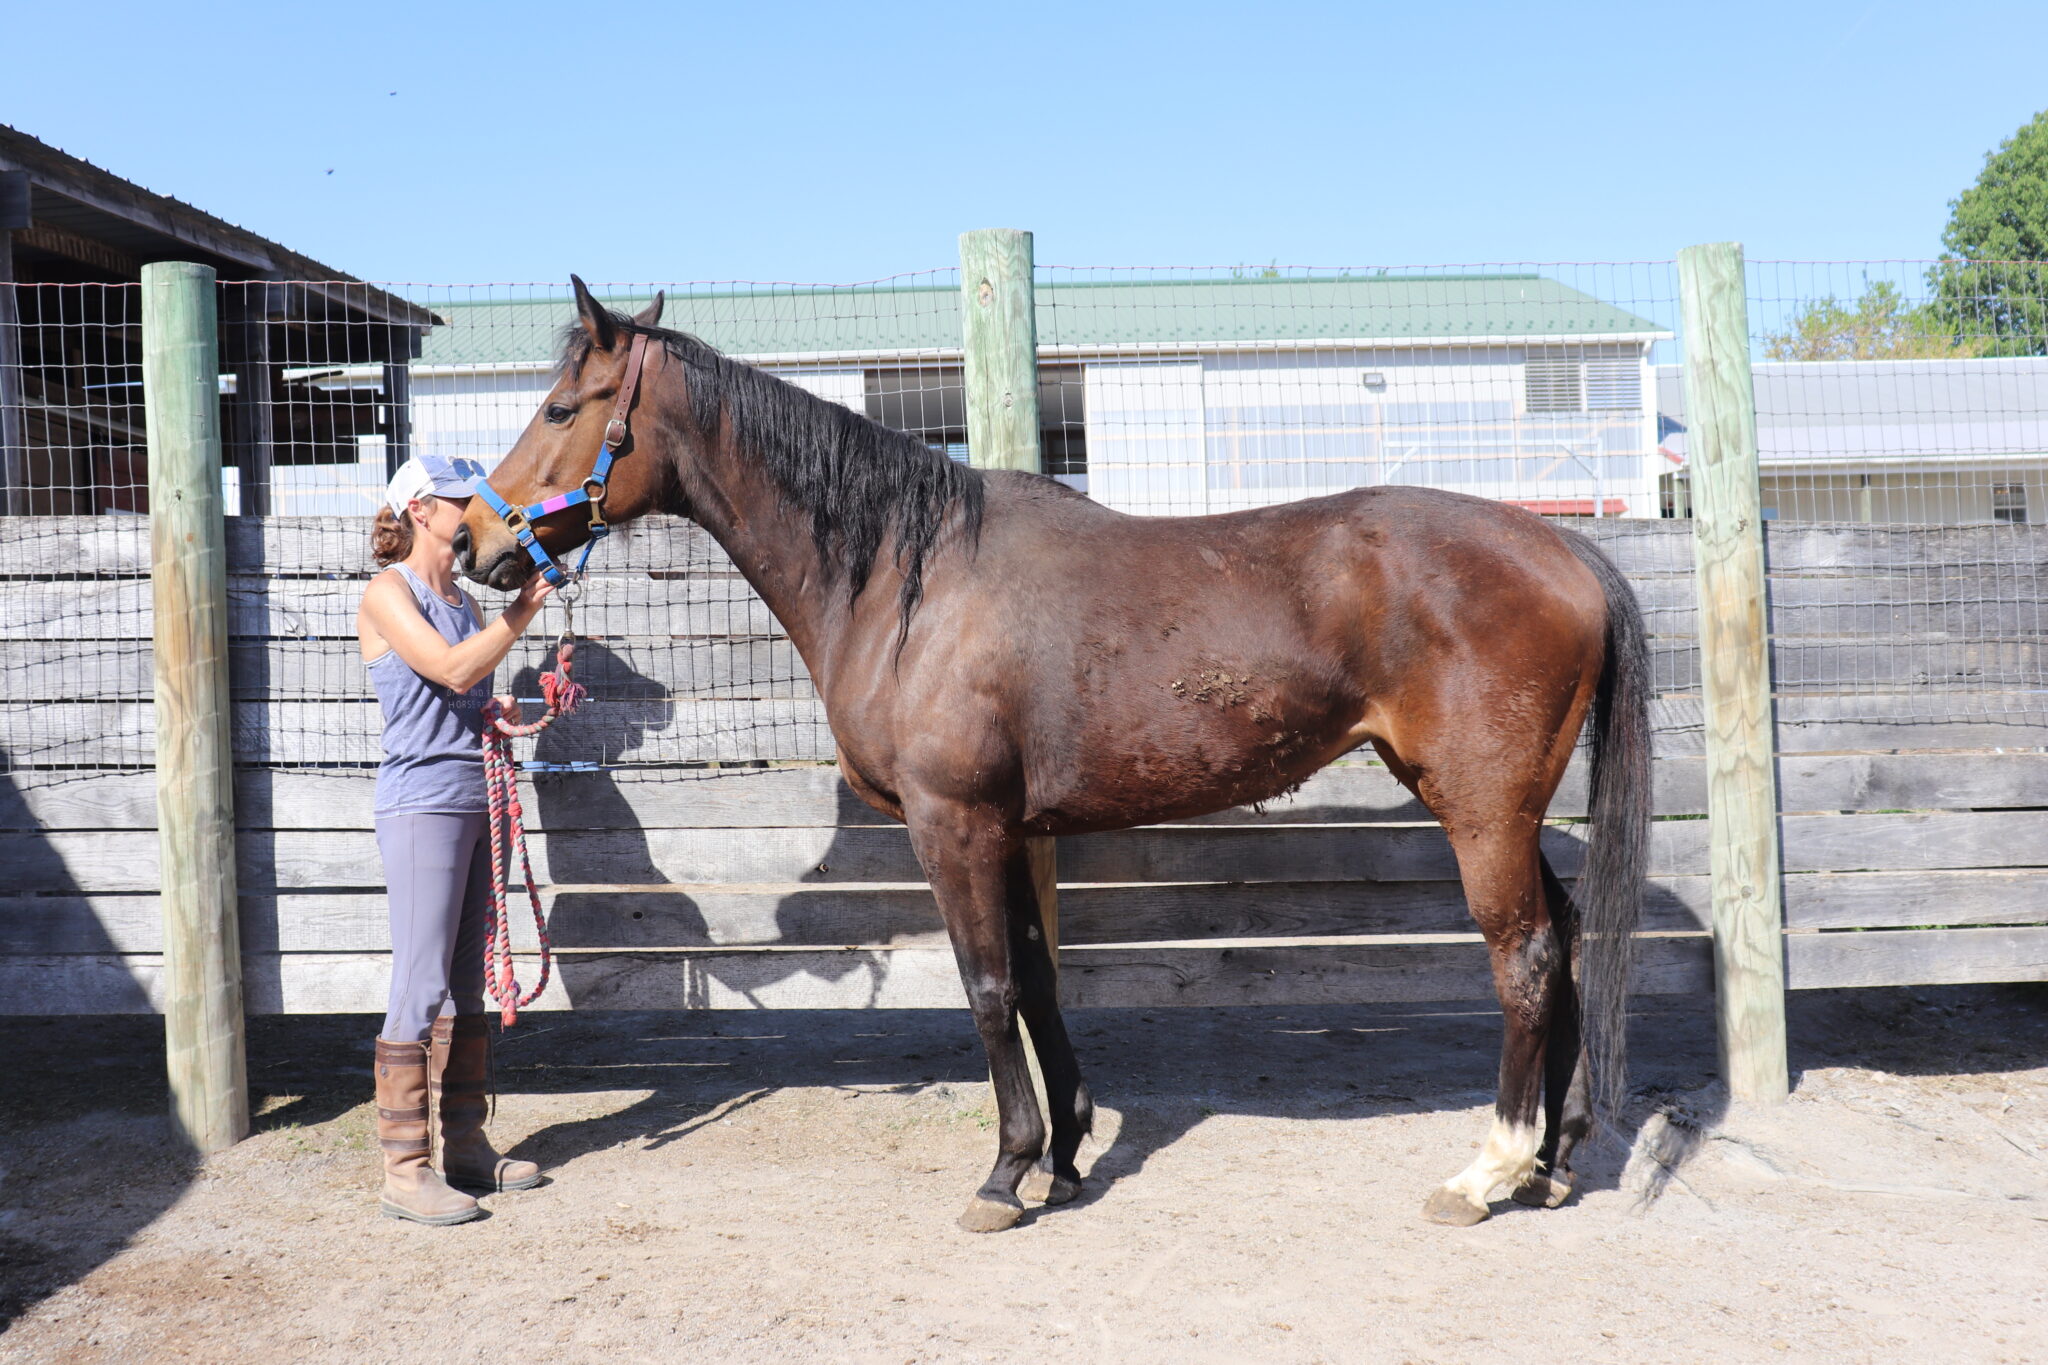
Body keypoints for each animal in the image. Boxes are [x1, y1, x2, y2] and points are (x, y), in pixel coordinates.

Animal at [456, 278, 1651, 1232]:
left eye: (560, 407)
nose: (471, 538)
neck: (909, 580)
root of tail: (1561, 547)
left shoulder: (955, 824)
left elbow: (987, 989)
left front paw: (1005, 1173)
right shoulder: (1015, 829)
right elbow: (1035, 982)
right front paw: (1068, 1158)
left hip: (1481, 809)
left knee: (1522, 959)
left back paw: (1487, 1170)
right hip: (1499, 808)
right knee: (1563, 939)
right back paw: (1552, 1162)